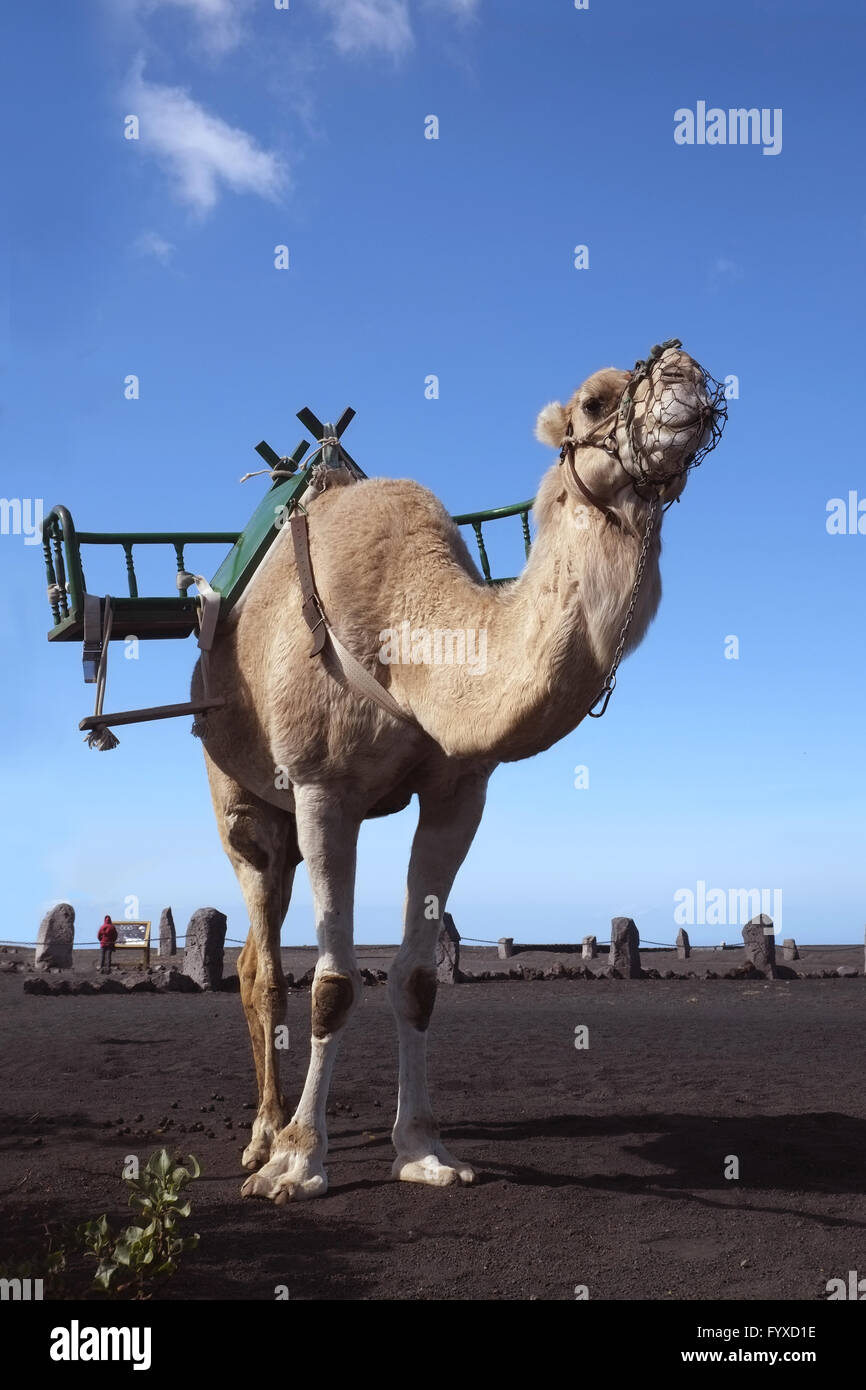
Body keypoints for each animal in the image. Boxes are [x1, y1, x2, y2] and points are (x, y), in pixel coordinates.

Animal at [192, 341, 725, 1202]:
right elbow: (332, 982)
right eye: (594, 400)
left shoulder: (457, 795)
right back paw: (263, 1137)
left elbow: (417, 978)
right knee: (262, 963)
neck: (414, 639)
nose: (689, 375)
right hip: (241, 801)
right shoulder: (322, 787)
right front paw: (301, 1162)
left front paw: (423, 1151)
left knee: (253, 956)